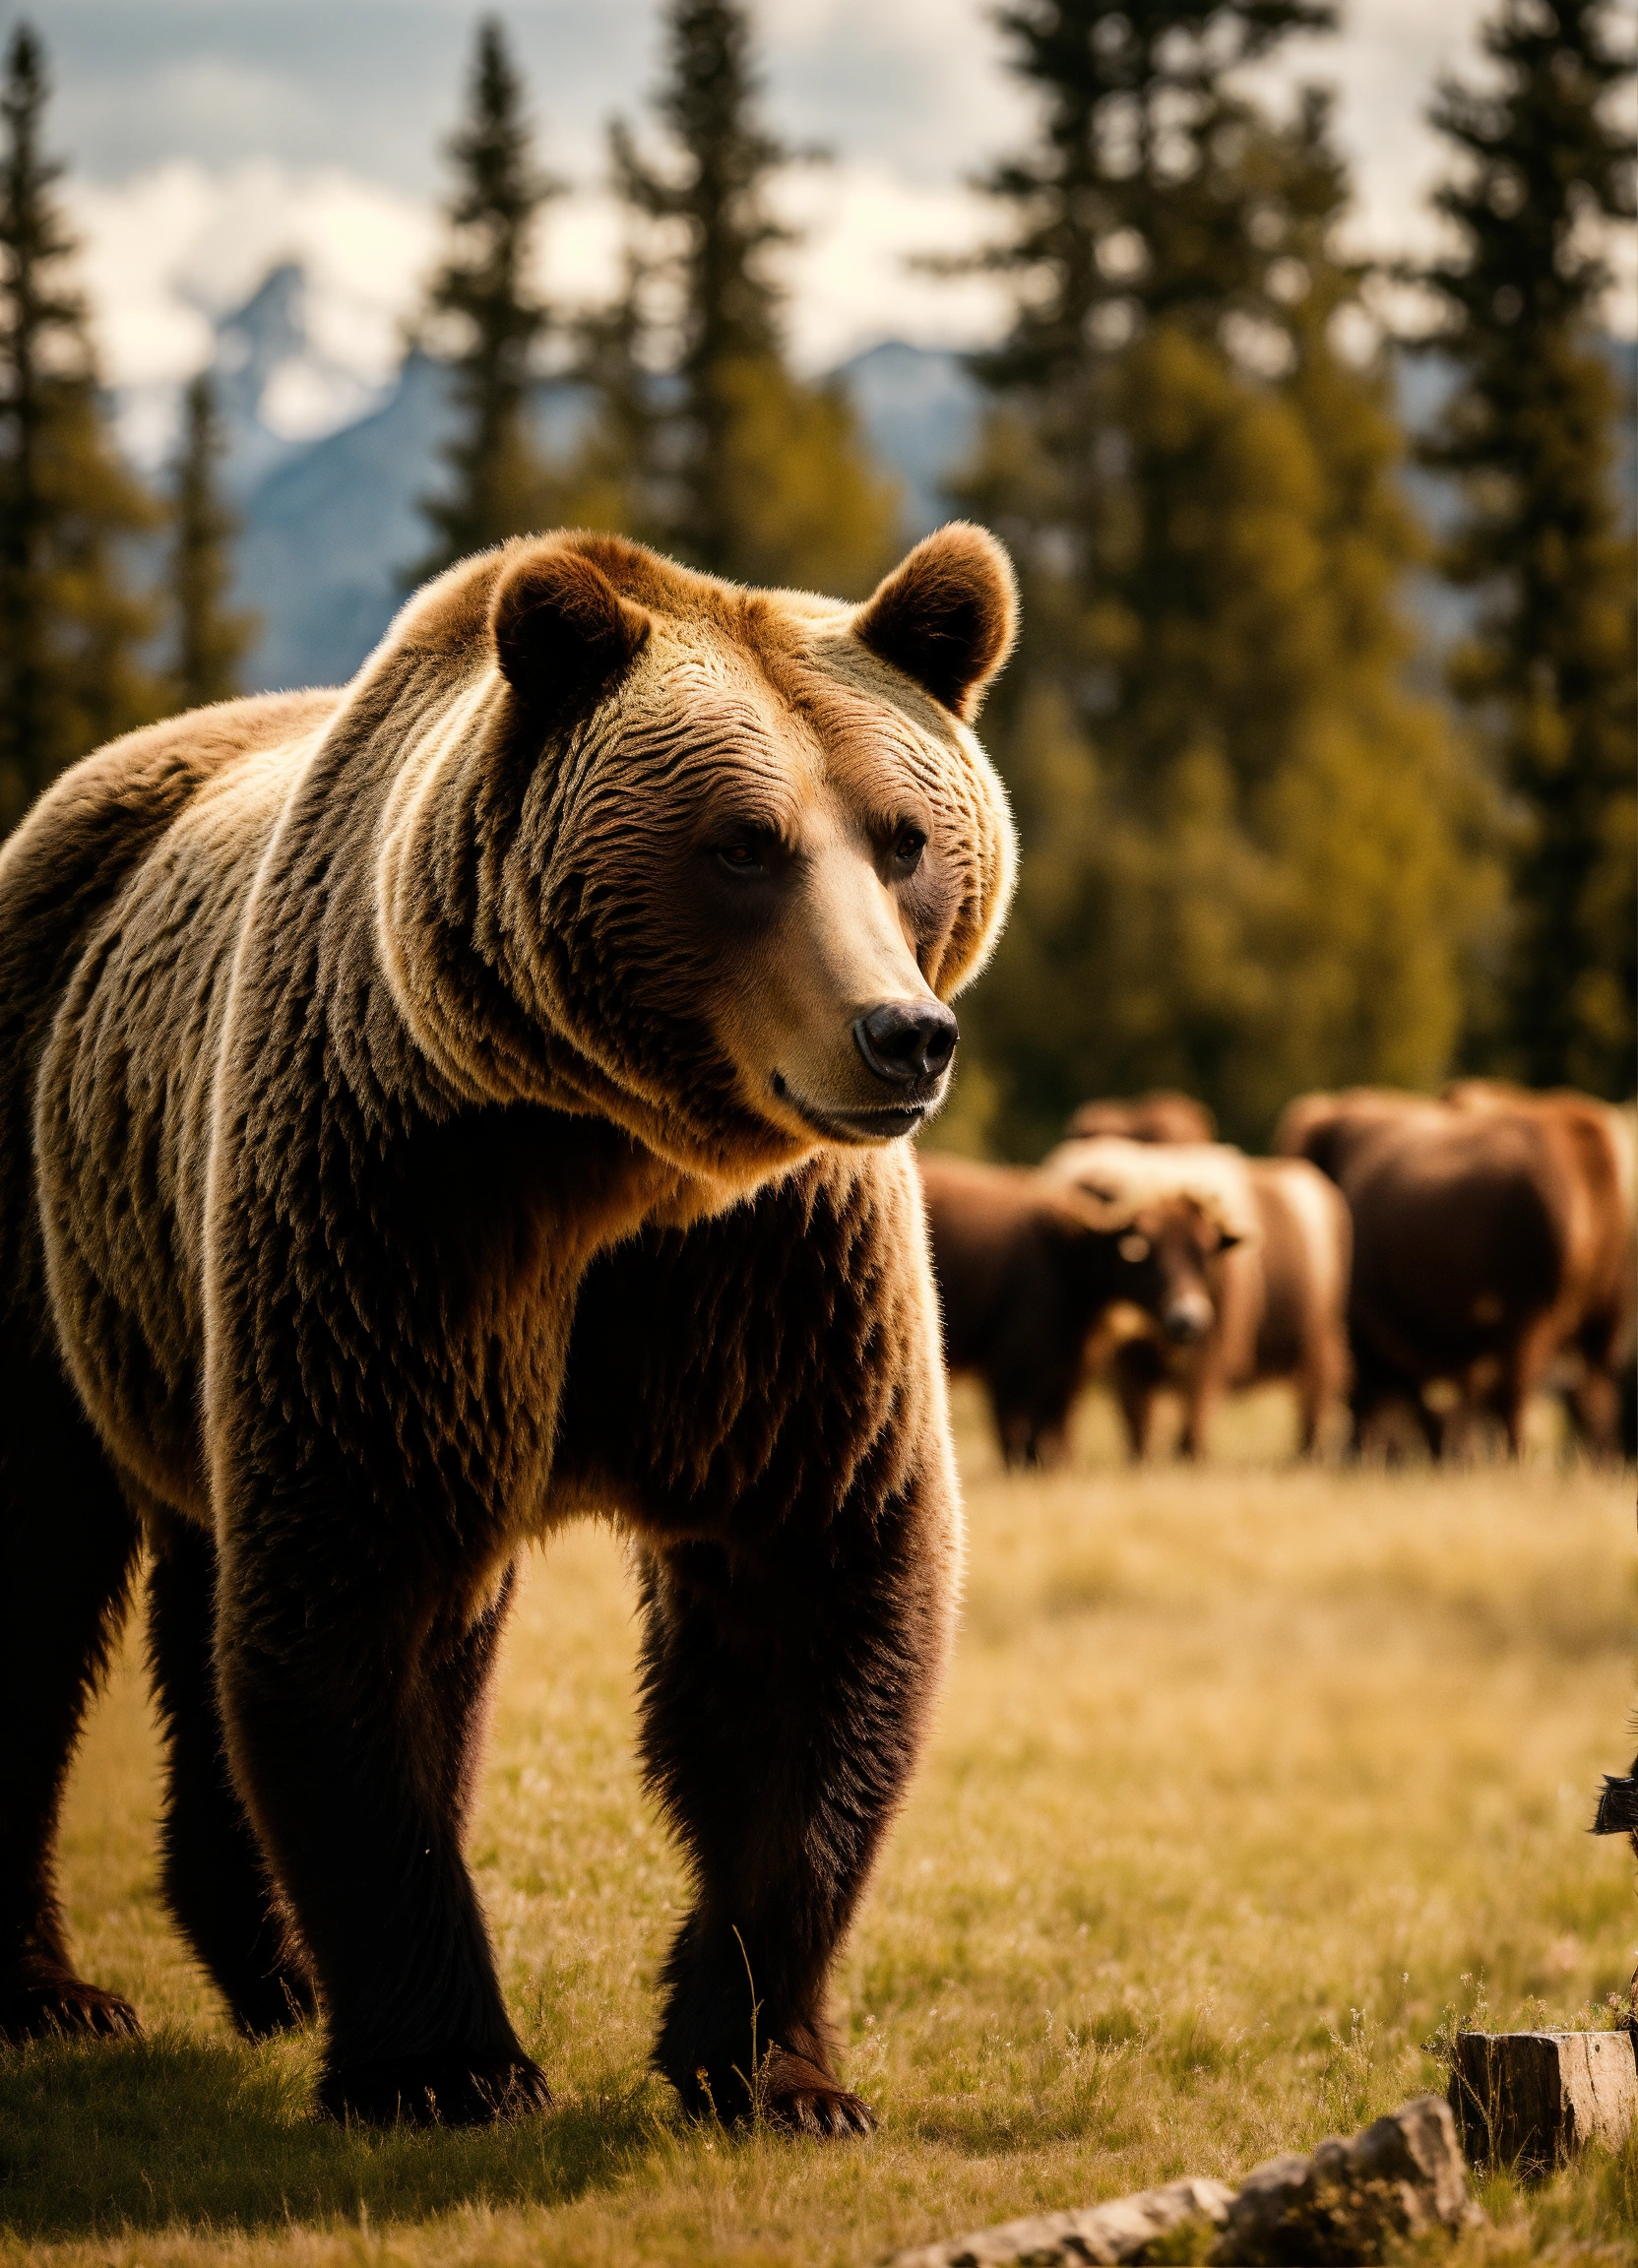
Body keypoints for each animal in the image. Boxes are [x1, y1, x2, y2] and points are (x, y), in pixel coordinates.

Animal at [0, 522, 1018, 2134]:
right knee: (38, 1564)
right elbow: (370, 1601)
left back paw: (267, 1968)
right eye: (744, 841)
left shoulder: (767, 1283)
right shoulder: (410, 1222)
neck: (620, 1156)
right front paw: (449, 2068)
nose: (899, 1035)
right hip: (50, 1213)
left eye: (905, 832)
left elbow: (812, 1597)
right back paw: (58, 1993)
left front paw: (771, 2066)